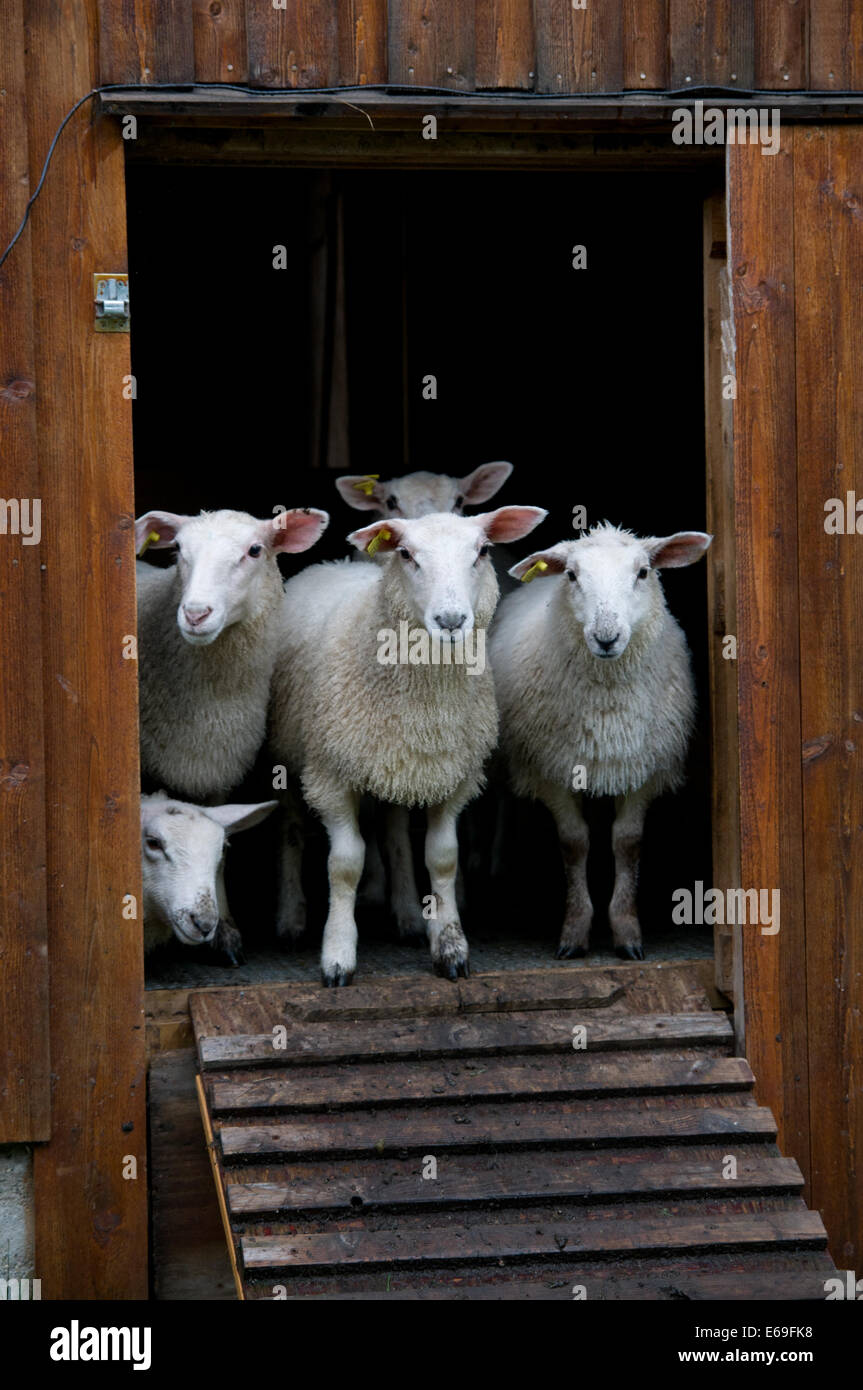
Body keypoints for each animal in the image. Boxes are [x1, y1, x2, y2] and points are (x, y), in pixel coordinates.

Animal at [270, 504, 547, 986]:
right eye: (405, 554)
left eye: (483, 551)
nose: (452, 621)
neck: (426, 701)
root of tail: (334, 564)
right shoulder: (330, 776)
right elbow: (345, 865)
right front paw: (337, 956)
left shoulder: (454, 776)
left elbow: (443, 858)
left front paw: (450, 947)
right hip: (291, 755)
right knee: (292, 831)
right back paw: (290, 919)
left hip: (396, 762)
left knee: (395, 832)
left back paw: (407, 917)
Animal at [491, 523, 712, 961]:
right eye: (572, 575)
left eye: (643, 572)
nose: (606, 637)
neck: (607, 701)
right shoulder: (552, 770)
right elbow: (574, 843)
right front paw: (575, 931)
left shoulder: (643, 769)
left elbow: (627, 843)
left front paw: (626, 931)